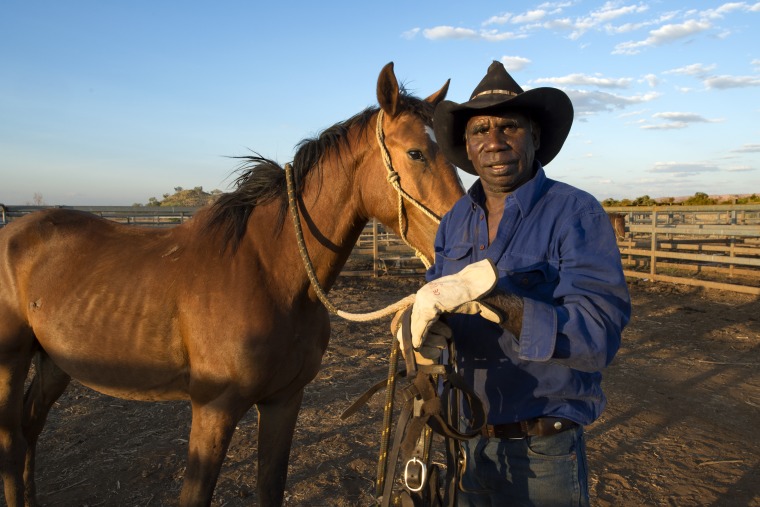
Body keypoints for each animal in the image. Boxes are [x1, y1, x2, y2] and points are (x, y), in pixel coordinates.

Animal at [0, 62, 464, 506]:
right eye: (416, 153)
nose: (461, 241)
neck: (270, 276)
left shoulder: (284, 402)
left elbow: (270, 487)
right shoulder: (213, 410)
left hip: (55, 362)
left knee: (30, 427)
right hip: (12, 361)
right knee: (11, 441)